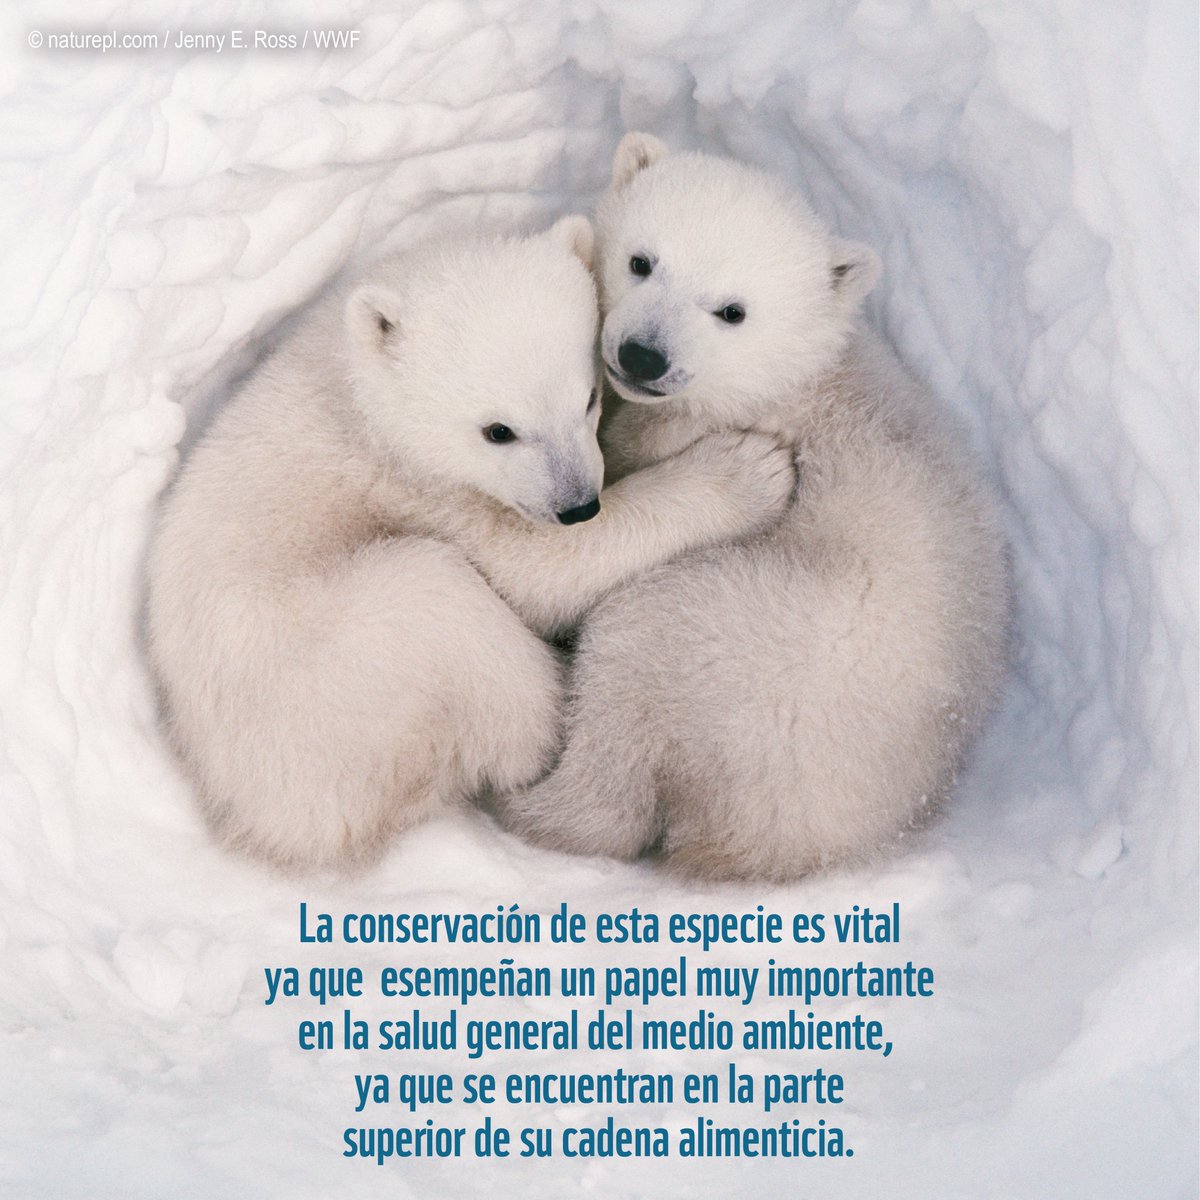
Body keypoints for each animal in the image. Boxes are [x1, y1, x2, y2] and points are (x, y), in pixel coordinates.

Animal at [146, 216, 796, 871]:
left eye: (588, 398)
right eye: (498, 431)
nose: (579, 505)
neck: (358, 388)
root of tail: (270, 821)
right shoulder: (414, 488)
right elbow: (539, 573)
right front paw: (749, 469)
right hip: (345, 676)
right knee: (457, 625)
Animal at [497, 137, 1011, 882]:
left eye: (732, 311)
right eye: (642, 261)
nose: (642, 355)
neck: (779, 384)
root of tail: (756, 835)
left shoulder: (687, 431)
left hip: (731, 639)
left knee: (628, 681)